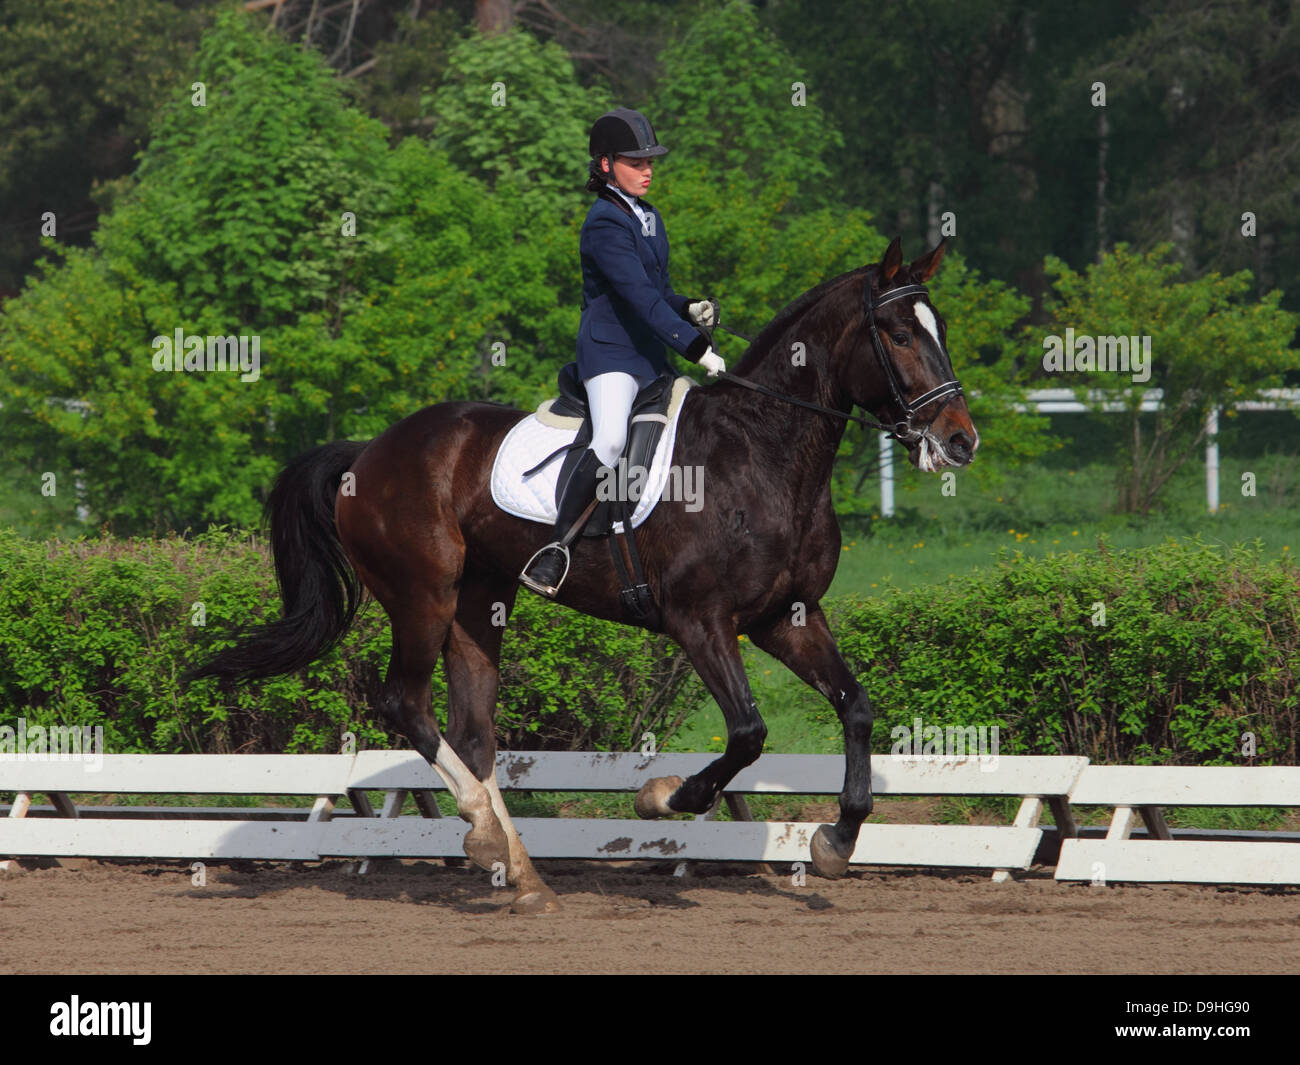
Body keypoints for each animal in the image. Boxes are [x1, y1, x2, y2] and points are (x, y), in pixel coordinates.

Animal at [188, 237, 979, 913]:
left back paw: (521, 873)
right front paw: (662, 797)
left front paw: (836, 841)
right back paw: (482, 835)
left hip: (481, 602)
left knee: (473, 732)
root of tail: (367, 453)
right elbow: (749, 732)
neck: (764, 452)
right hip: (423, 598)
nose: (960, 441)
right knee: (404, 704)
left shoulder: (786, 619)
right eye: (898, 334)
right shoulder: (700, 620)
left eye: (937, 327)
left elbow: (856, 708)